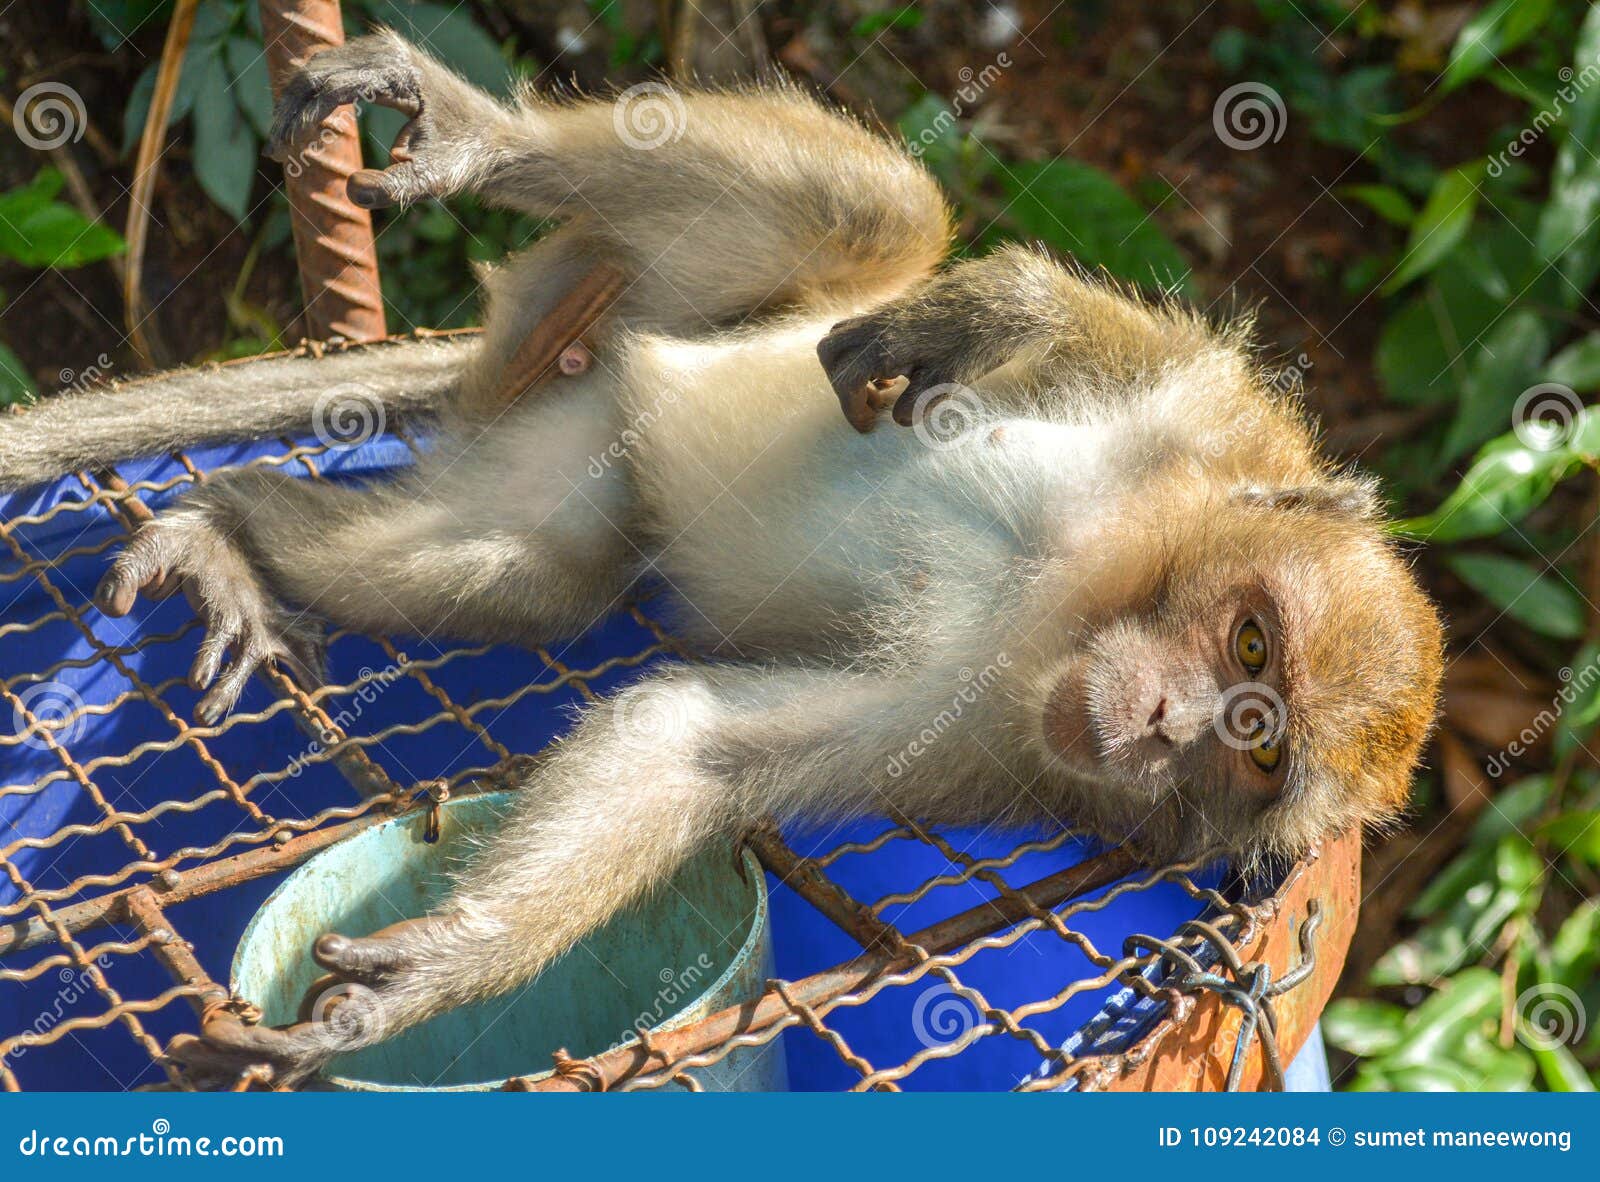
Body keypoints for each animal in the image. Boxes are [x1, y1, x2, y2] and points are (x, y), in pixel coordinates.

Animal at [0, 32, 1443, 1088]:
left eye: (1254, 747)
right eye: (1248, 639)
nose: (1155, 721)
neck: (1072, 602)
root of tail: (589, 356)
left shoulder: (1007, 751)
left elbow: (696, 742)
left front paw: (436, 967)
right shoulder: (1216, 434)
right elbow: (1102, 331)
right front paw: (992, 312)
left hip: (577, 444)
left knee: (543, 566)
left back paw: (233, 520)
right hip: (695, 298)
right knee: (876, 211)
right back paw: (481, 143)